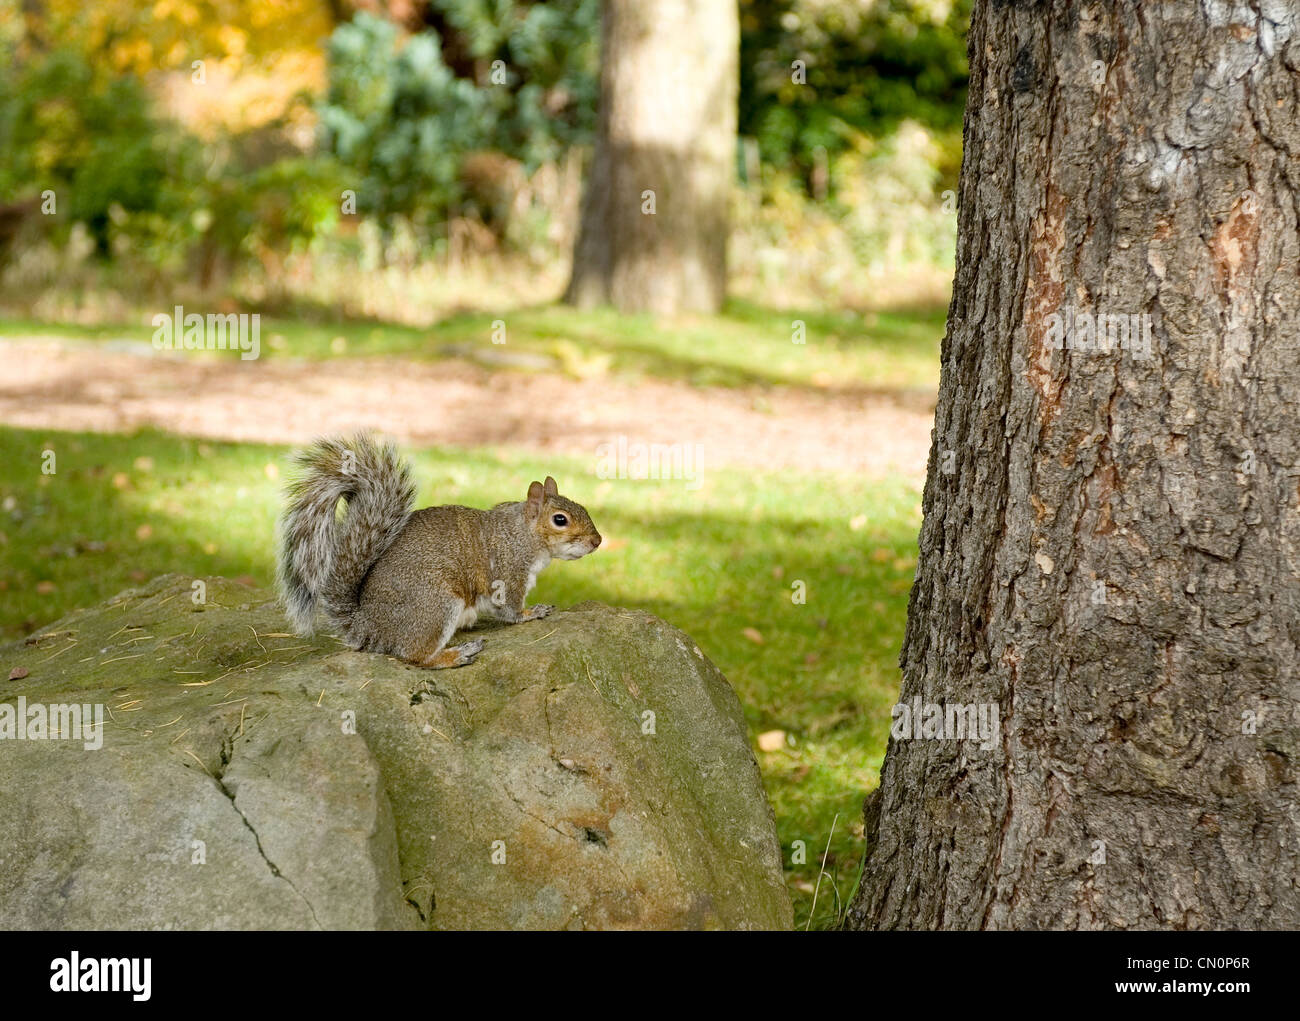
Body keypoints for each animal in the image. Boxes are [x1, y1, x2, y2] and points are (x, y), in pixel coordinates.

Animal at [275, 433, 602, 668]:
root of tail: (367, 626)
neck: (521, 533)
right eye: (560, 520)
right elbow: (509, 610)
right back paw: (455, 655)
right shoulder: (507, 573)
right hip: (436, 605)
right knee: (415, 656)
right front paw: (531, 612)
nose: (597, 541)